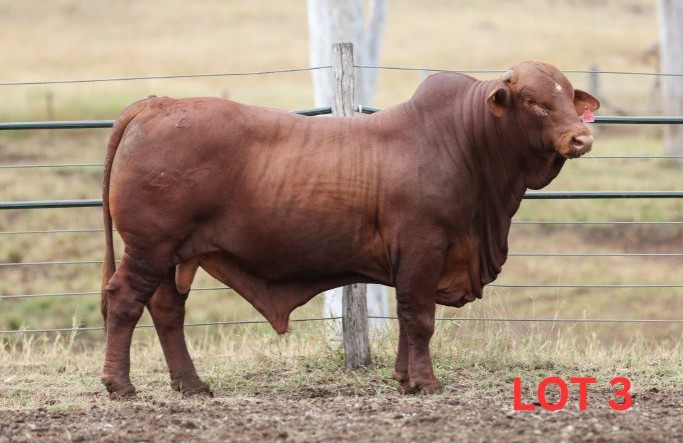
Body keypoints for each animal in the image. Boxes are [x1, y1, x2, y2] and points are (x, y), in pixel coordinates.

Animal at [100, 61, 599, 399]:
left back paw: (190, 384)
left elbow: (404, 318)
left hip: (173, 255)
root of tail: (158, 103)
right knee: (125, 301)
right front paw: (426, 382)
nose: (581, 137)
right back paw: (120, 385)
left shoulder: (409, 261)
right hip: (149, 248)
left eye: (568, 97)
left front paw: (403, 378)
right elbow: (420, 318)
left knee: (167, 310)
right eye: (534, 101)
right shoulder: (423, 246)